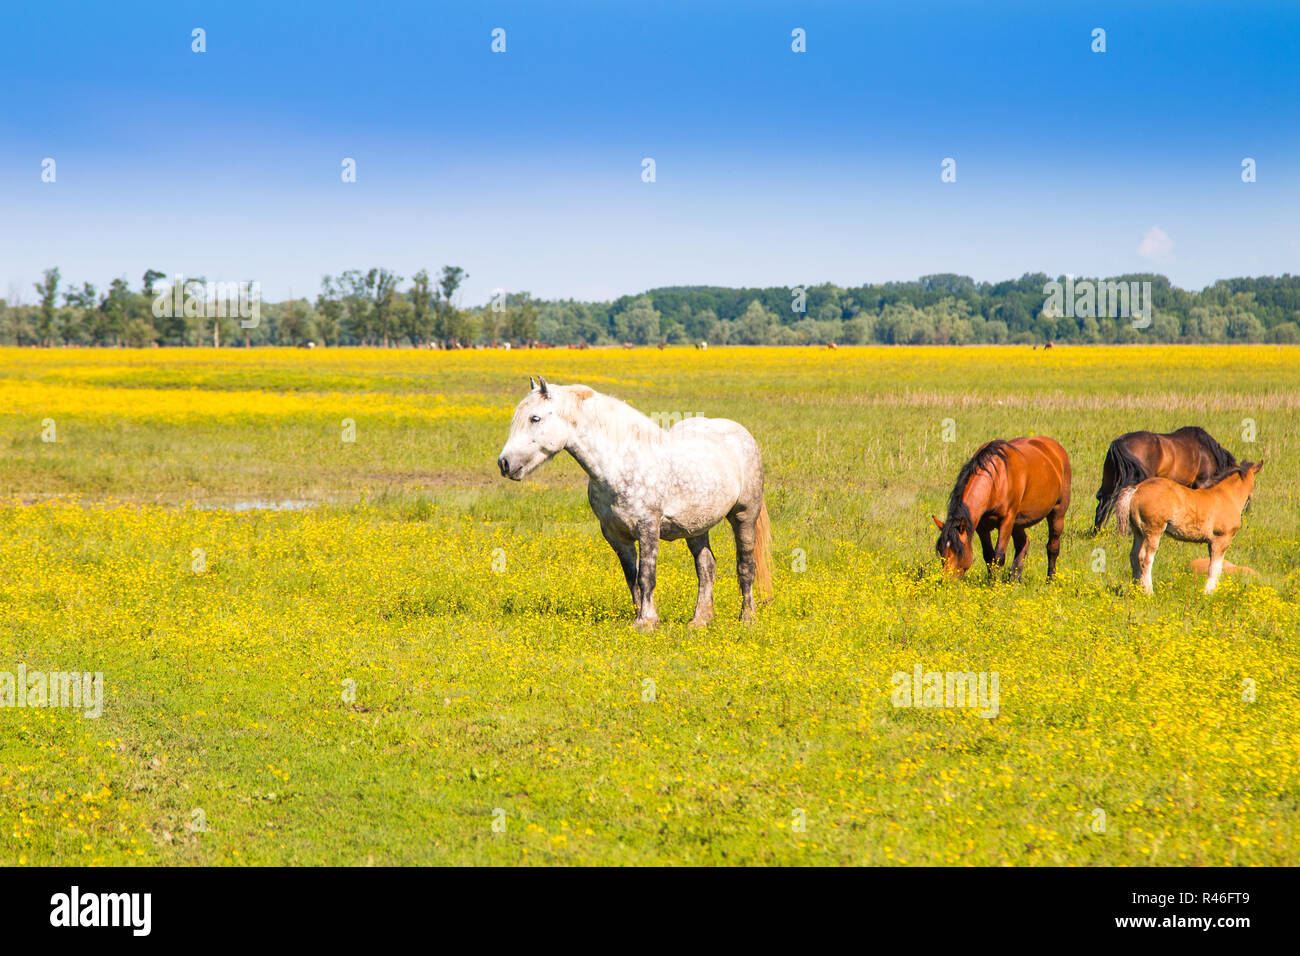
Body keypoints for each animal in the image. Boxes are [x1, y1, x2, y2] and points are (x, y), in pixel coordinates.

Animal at [496, 377, 773, 629]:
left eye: (535, 418)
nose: (504, 463)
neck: (621, 463)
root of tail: (740, 433)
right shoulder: (616, 535)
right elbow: (632, 577)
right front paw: (643, 616)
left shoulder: (648, 527)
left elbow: (647, 575)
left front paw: (646, 622)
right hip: (696, 527)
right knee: (706, 567)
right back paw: (700, 620)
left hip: (744, 516)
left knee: (746, 565)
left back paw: (748, 618)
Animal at [932, 437, 1071, 581]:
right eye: (941, 551)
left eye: (959, 551)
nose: (947, 581)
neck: (996, 480)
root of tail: (1055, 448)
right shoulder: (982, 527)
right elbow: (988, 556)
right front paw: (991, 581)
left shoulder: (1006, 521)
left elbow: (999, 556)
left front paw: (995, 584)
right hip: (1018, 522)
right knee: (1023, 544)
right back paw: (1015, 580)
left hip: (1057, 513)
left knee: (1052, 547)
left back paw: (1050, 580)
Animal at [1116, 462, 1262, 594]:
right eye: (1254, 483)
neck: (1226, 496)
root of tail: (1137, 489)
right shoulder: (1221, 539)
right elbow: (1214, 568)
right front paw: (1208, 593)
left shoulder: (1212, 542)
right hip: (1153, 531)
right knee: (1146, 559)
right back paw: (1148, 592)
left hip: (1138, 532)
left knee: (1134, 556)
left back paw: (1136, 590)